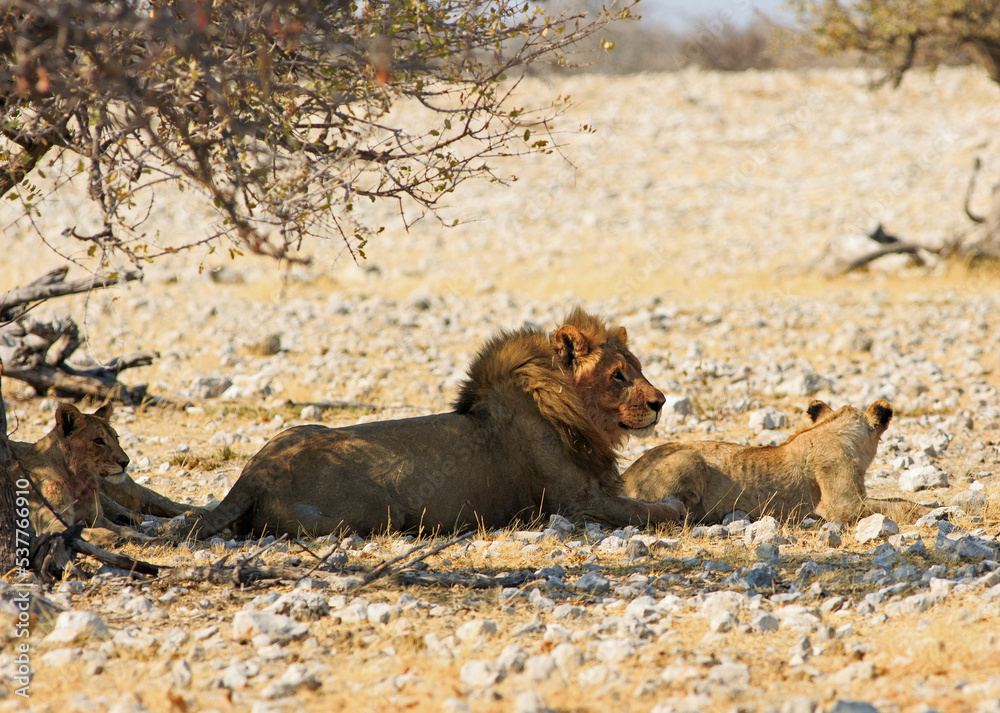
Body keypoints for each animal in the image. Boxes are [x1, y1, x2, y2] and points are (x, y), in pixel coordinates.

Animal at [13, 402, 200, 544]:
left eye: (116, 438)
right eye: (98, 441)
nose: (125, 462)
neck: (79, 479)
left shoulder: (97, 517)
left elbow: (125, 529)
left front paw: (154, 539)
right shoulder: (51, 525)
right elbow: (85, 531)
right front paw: (111, 537)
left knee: (155, 506)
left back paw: (193, 517)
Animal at [179, 308, 686, 539]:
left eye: (637, 368)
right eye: (618, 375)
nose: (661, 402)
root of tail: (254, 471)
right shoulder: (577, 504)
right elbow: (650, 511)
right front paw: (677, 507)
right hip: (378, 512)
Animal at [623, 399, 931, 525]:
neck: (832, 431)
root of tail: (624, 476)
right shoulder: (843, 505)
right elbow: (899, 504)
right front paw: (932, 511)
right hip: (689, 459)